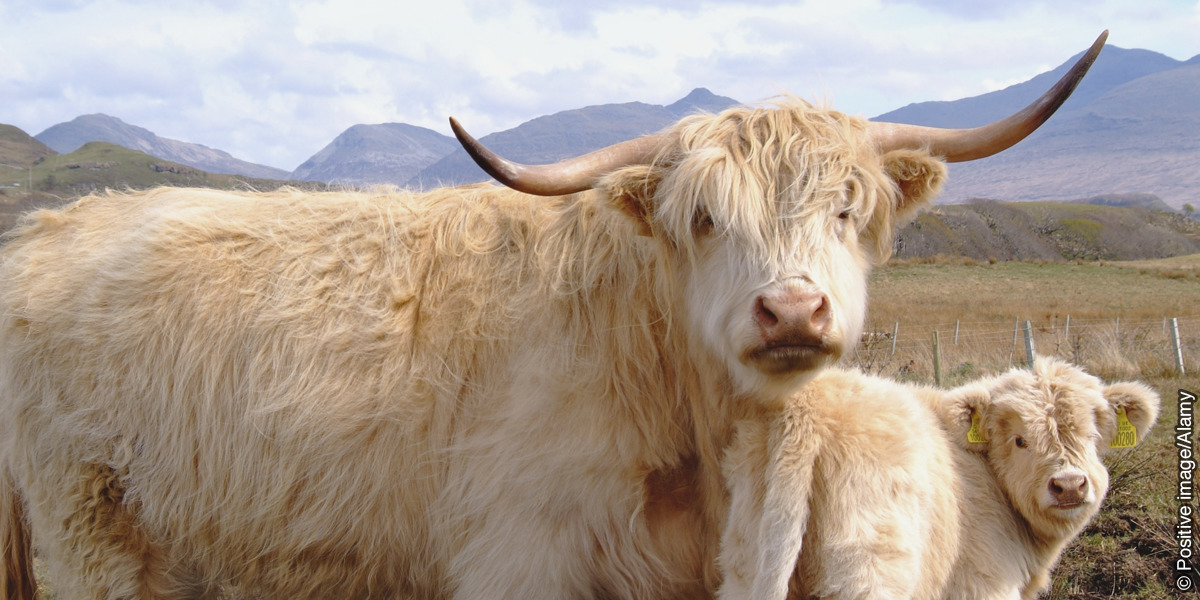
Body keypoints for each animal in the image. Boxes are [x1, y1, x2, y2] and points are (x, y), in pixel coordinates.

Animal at [0, 33, 1106, 600]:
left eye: (845, 205)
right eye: (704, 217)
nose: (791, 307)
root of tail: (54, 227)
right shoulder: (519, 558)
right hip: (91, 536)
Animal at [718, 356, 1160, 600]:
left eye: (1092, 436)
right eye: (1019, 440)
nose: (1069, 485)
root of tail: (810, 406)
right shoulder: (985, 583)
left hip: (746, 564)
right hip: (869, 572)